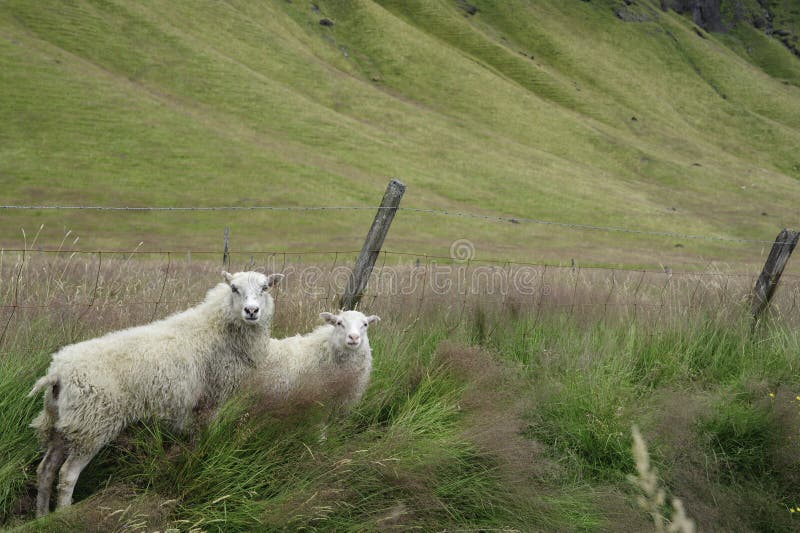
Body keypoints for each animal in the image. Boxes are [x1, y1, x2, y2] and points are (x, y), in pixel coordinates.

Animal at [28, 270, 283, 517]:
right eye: (234, 288)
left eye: (265, 288)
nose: (252, 311)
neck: (216, 328)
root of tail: (58, 372)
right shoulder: (210, 401)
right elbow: (203, 438)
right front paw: (201, 460)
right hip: (92, 424)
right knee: (67, 475)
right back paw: (62, 515)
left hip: (63, 423)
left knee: (46, 470)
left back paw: (41, 517)